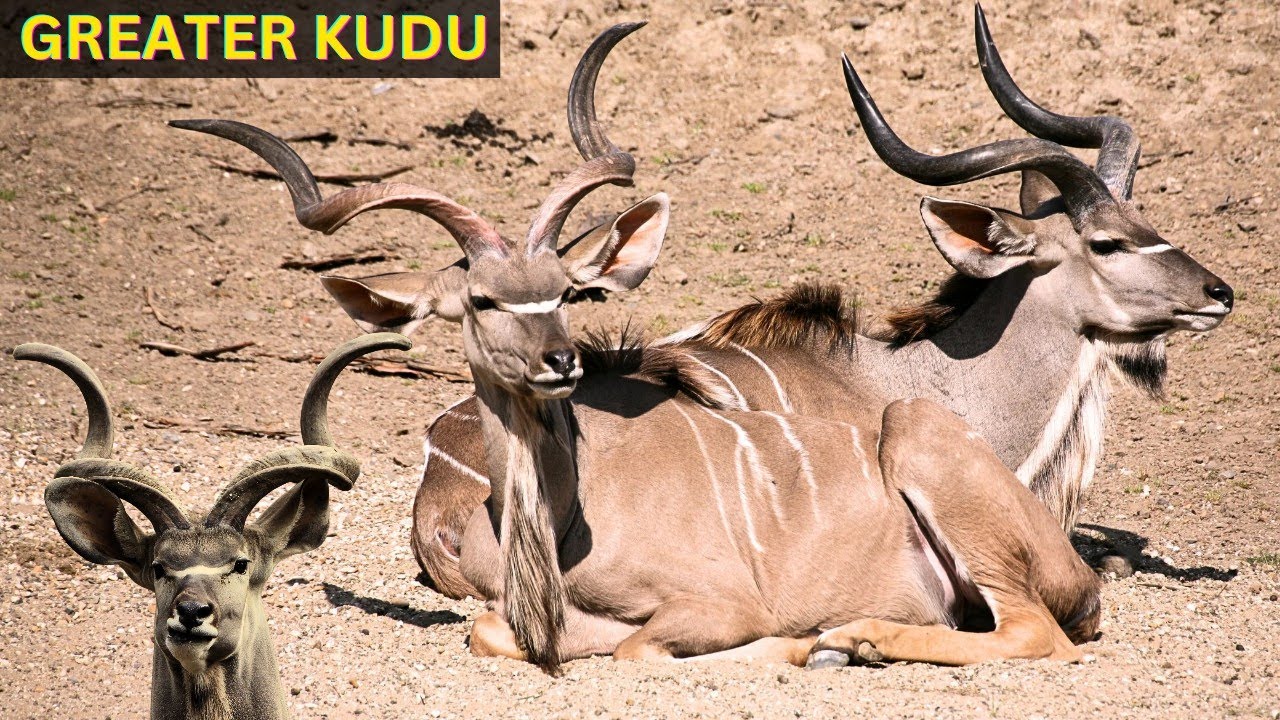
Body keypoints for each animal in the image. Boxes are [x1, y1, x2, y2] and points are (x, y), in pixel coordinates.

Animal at [163, 24, 1101, 673]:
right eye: (482, 299)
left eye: (565, 290)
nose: (560, 362)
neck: (560, 526)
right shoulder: (514, 621)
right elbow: (490, 634)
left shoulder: (716, 606)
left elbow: (641, 648)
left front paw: (808, 645)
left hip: (933, 456)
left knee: (1039, 633)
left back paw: (854, 639)